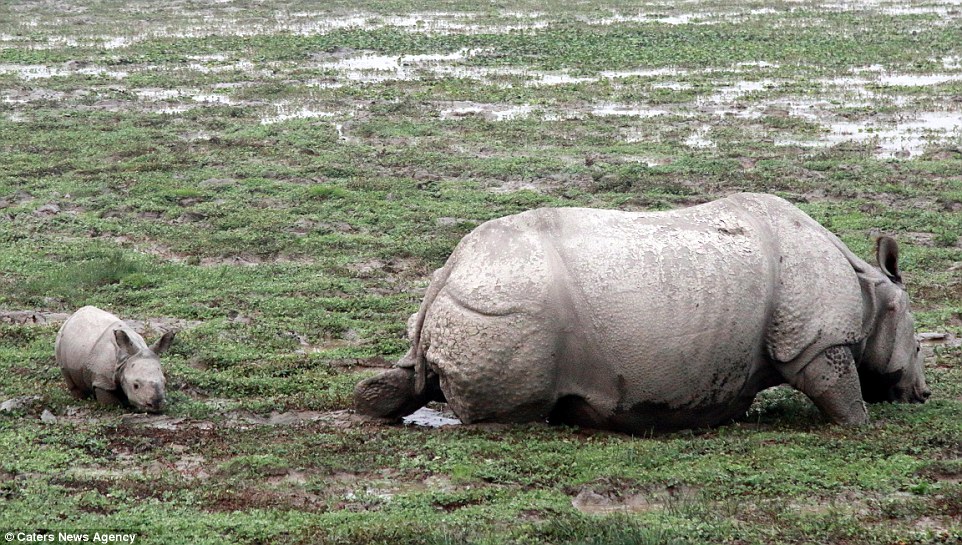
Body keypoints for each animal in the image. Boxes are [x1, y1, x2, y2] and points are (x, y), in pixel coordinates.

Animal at [355, 193, 930, 433]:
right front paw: (861, 426)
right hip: (508, 308)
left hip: (474, 293)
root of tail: (451, 270)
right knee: (516, 412)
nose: (922, 395)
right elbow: (841, 394)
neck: (869, 289)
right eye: (920, 345)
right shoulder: (816, 339)